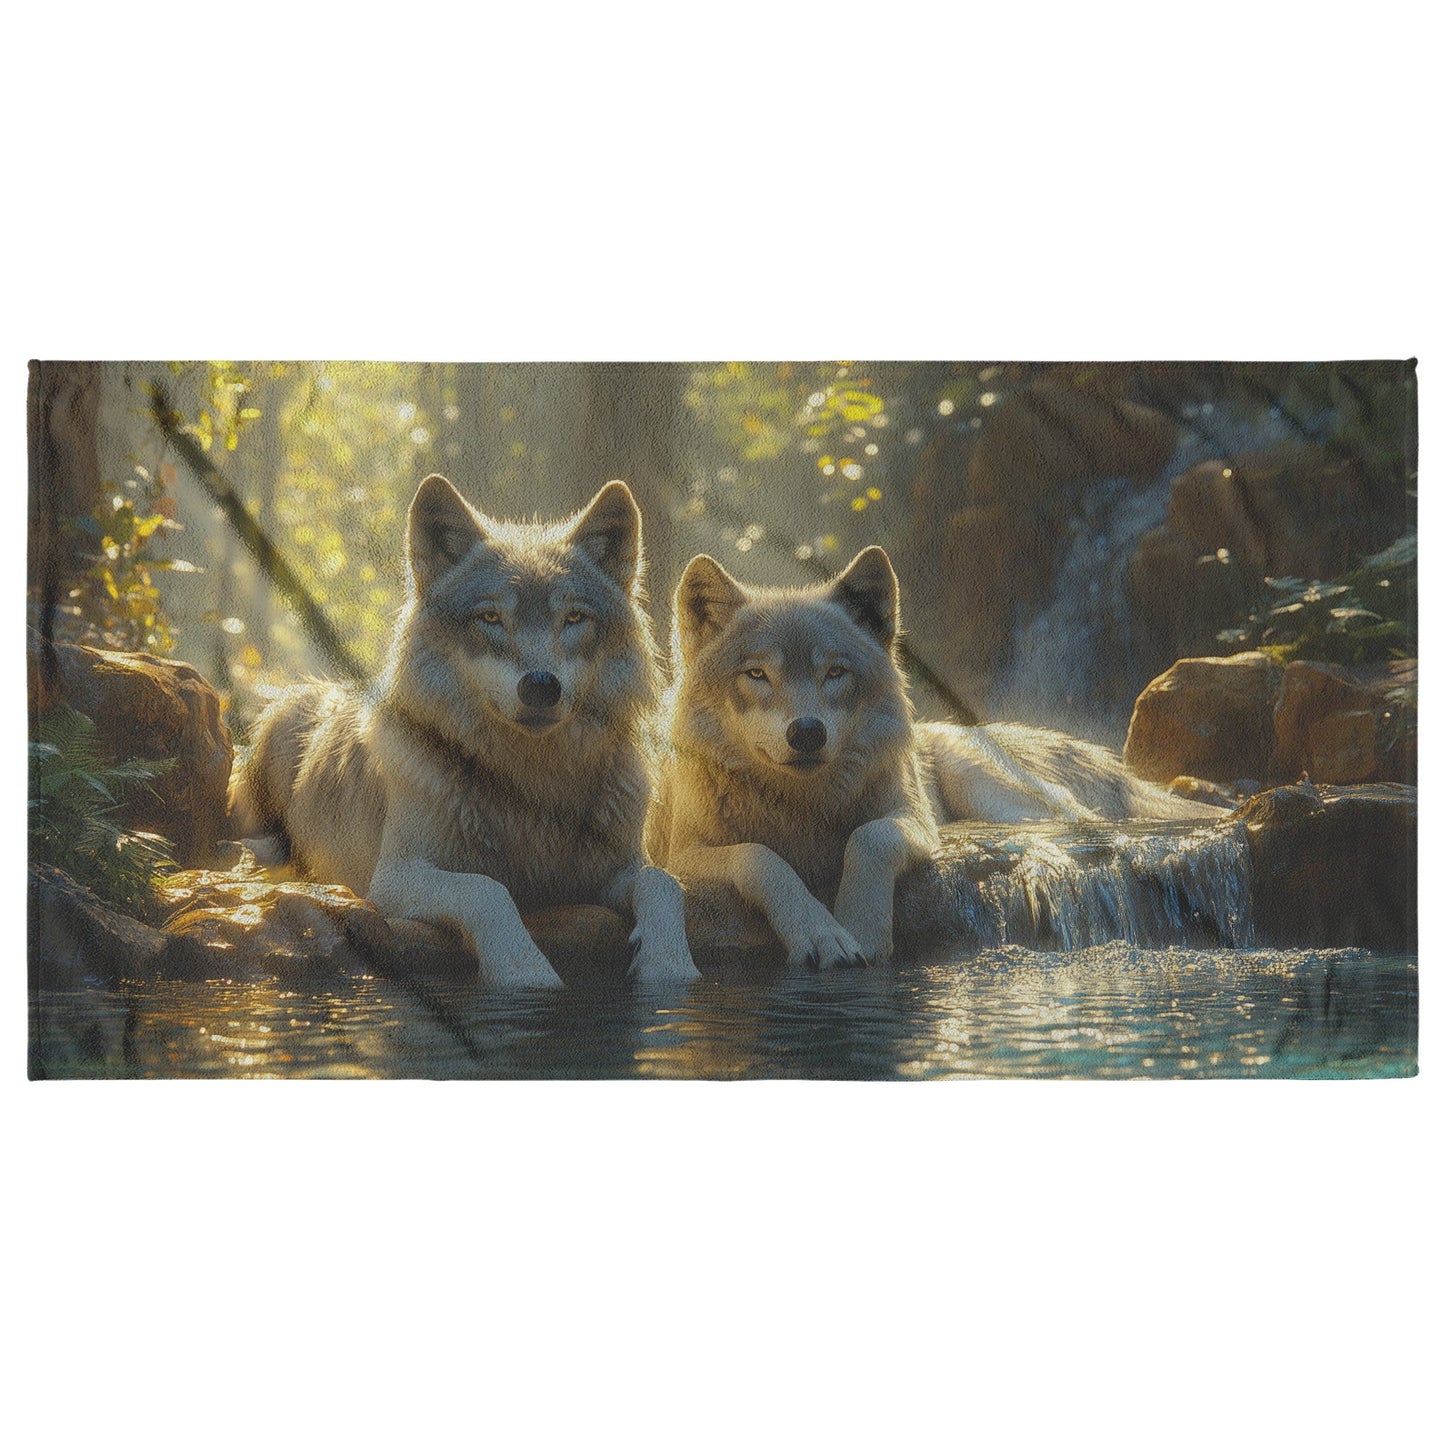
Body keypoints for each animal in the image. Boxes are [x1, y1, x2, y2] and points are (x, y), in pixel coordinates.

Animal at [230, 474, 700, 988]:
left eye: (574, 618)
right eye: (490, 618)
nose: (541, 685)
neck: (531, 785)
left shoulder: (618, 869)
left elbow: (663, 882)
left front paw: (669, 964)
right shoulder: (392, 878)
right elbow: (486, 889)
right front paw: (523, 970)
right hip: (286, 716)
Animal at [649, 546, 1220, 968]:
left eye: (834, 672)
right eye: (757, 674)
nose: (807, 732)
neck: (801, 807)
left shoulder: (911, 819)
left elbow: (868, 838)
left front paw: (859, 928)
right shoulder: (680, 856)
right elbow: (761, 858)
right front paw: (820, 934)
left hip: (988, 789)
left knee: (1075, 820)